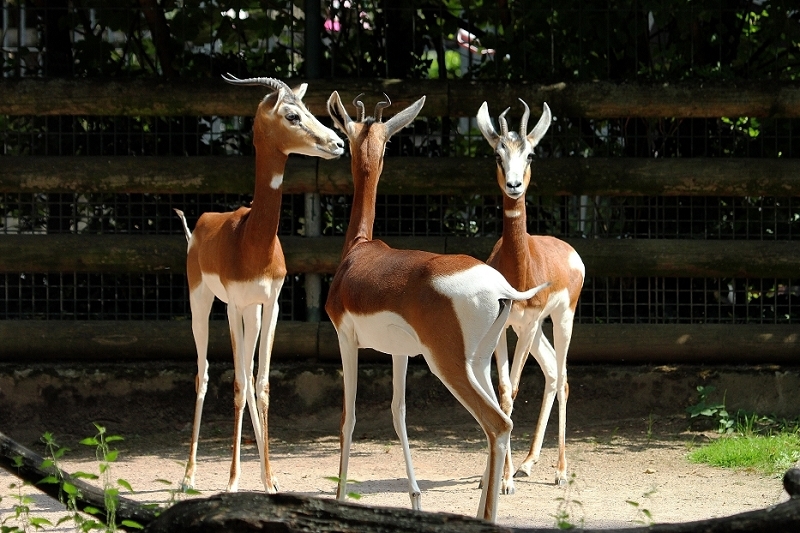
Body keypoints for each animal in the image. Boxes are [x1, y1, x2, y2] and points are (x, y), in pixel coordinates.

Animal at [175, 74, 344, 493]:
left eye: (309, 110)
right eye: (291, 115)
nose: (337, 143)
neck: (252, 238)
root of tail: (199, 227)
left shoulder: (272, 304)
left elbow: (263, 383)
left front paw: (270, 481)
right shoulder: (233, 304)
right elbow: (235, 384)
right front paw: (233, 481)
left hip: (249, 312)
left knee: (249, 375)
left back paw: (266, 472)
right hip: (204, 304)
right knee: (204, 373)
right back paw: (188, 475)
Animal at [325, 91, 551, 522]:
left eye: (347, 133)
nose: (340, 147)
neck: (357, 254)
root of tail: (502, 288)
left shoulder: (345, 338)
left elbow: (348, 417)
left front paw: (341, 499)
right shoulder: (399, 353)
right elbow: (398, 412)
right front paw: (414, 498)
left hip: (447, 364)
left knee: (497, 424)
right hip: (477, 362)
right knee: (500, 419)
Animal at [477, 100, 585, 490]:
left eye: (530, 153)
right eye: (497, 154)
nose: (513, 185)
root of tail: (569, 251)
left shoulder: (526, 325)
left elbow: (513, 392)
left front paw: (505, 480)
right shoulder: (502, 329)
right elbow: (502, 392)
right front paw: (496, 477)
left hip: (559, 320)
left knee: (564, 378)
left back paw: (560, 471)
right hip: (535, 331)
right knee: (552, 371)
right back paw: (527, 463)